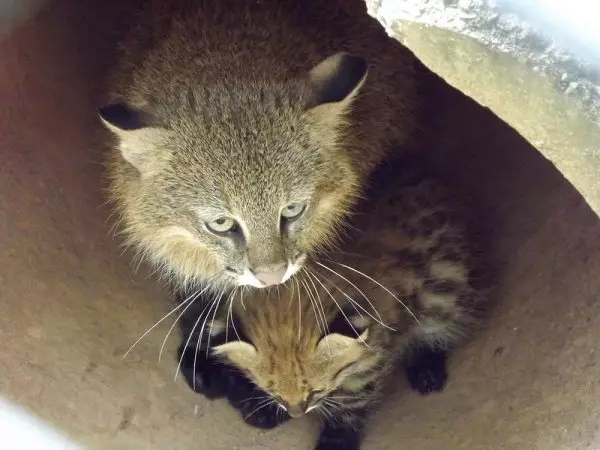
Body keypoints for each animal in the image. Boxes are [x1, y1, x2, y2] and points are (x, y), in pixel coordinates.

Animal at [177, 156, 488, 450]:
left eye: (315, 391)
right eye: (274, 391)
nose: (297, 413)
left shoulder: (373, 351)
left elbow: (352, 397)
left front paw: (337, 438)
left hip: (444, 285)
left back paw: (427, 368)